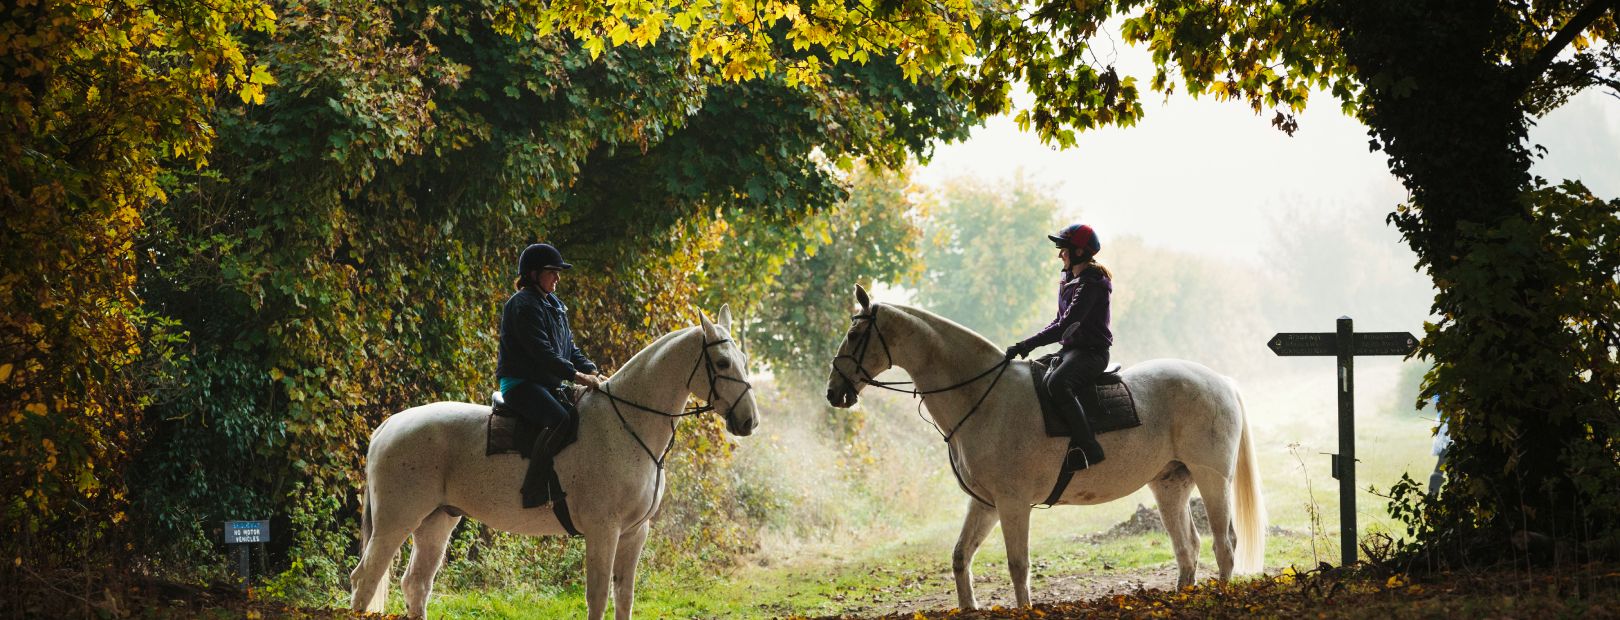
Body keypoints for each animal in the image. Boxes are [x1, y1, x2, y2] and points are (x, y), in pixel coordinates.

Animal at [349, 307, 758, 619]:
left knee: (415, 584)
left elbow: (624, 597)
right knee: (366, 578)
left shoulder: (634, 533)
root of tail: (389, 425)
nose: (748, 422)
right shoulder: (603, 530)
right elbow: (598, 597)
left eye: (743, 361)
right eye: (722, 362)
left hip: (436, 521)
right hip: (397, 520)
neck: (627, 424)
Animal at [825, 285, 1264, 609]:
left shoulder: (1013, 504)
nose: (834, 392)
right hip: (1169, 484)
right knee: (1187, 548)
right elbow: (960, 556)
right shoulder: (985, 504)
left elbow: (1018, 565)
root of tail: (1220, 381)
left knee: (1224, 545)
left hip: (1212, 479)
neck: (983, 396)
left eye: (854, 334)